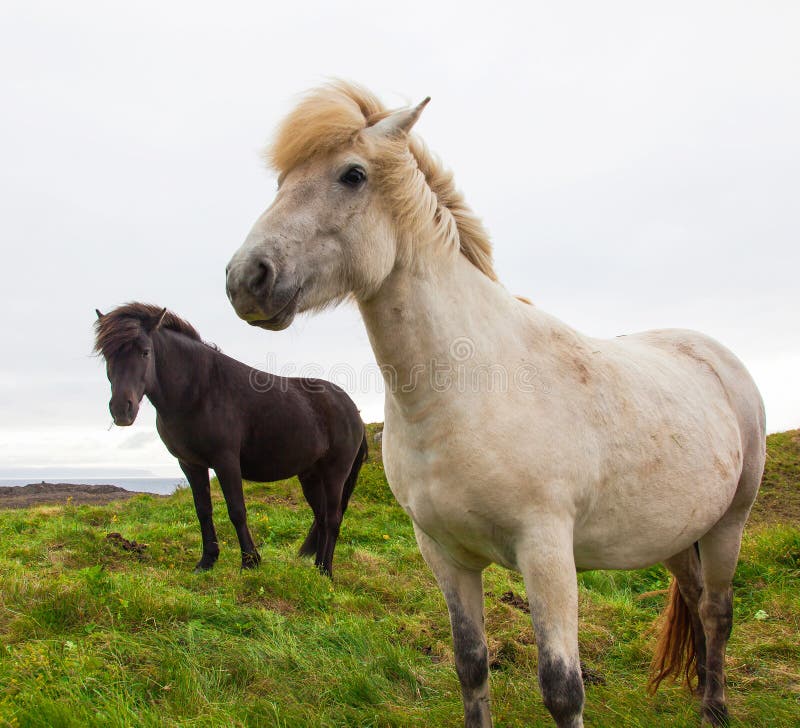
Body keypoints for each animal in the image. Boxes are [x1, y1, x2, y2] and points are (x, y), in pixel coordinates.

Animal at [93, 302, 367, 577]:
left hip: (335, 473)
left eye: (145, 352)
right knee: (321, 517)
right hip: (310, 475)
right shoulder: (190, 464)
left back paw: (325, 571)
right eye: (107, 355)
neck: (199, 391)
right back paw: (317, 567)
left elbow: (237, 510)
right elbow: (203, 511)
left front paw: (250, 561)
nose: (121, 409)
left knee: (332, 518)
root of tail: (352, 409)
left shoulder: (226, 461)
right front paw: (207, 561)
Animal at [224, 83, 766, 727]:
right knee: (694, 597)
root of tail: (715, 356)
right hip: (680, 534)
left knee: (716, 611)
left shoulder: (547, 553)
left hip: (730, 522)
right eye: (282, 181)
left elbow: (562, 688)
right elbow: (471, 666)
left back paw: (715, 708)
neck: (466, 389)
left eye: (352, 175)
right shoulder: (445, 555)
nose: (246, 279)